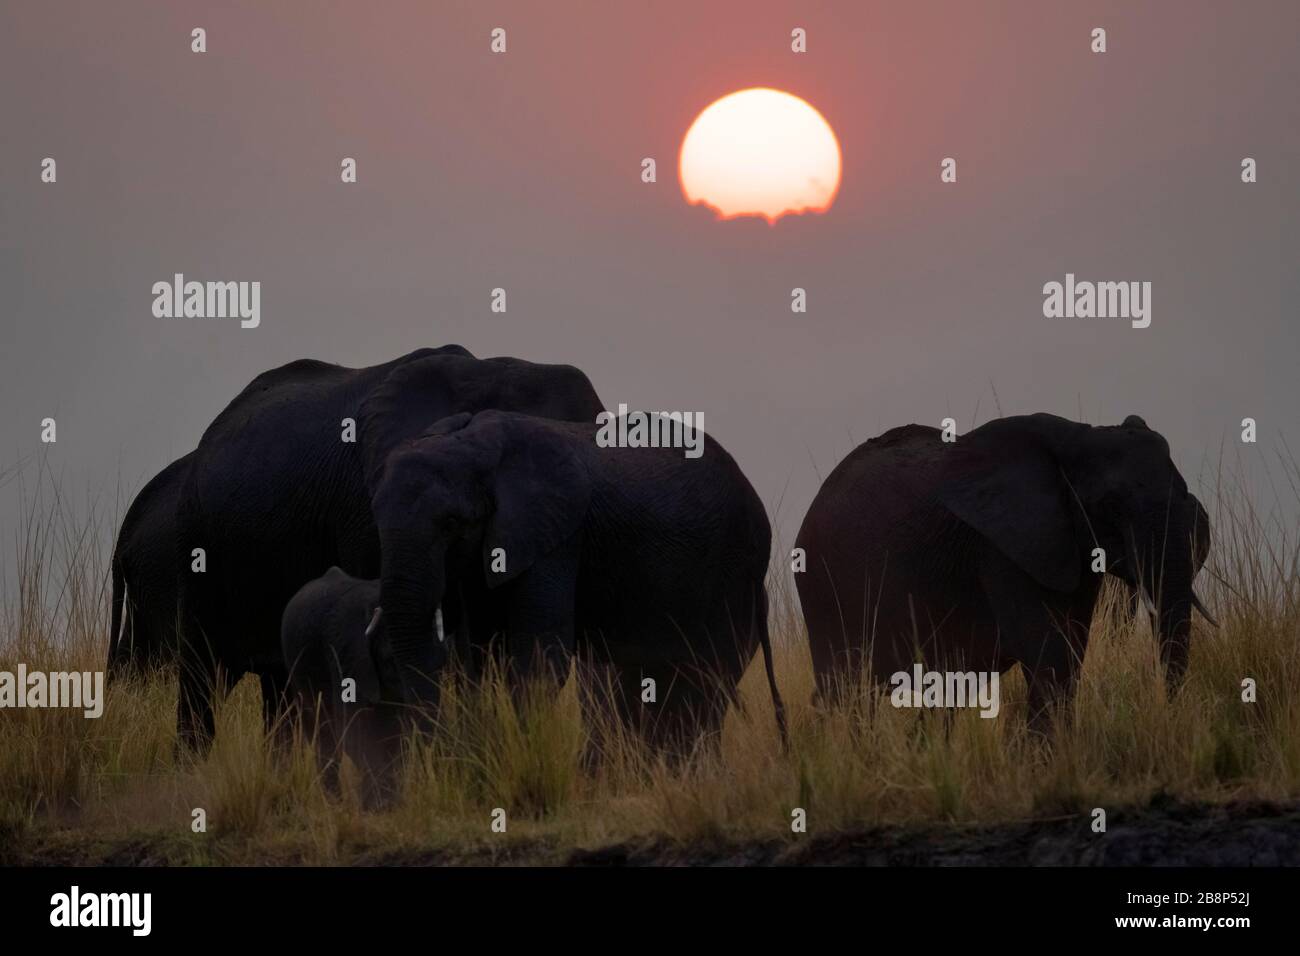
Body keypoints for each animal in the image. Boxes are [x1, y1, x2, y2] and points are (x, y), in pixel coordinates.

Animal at [281, 567, 404, 804]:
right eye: (390, 660)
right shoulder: (344, 653)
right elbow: (354, 730)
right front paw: (379, 804)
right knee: (322, 731)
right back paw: (333, 800)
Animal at [367, 409, 787, 755]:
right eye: (375, 519)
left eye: (452, 523)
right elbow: (480, 657)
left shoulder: (556, 538)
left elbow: (538, 659)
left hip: (734, 573)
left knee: (706, 681)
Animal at [794, 413, 1214, 727]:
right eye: (1109, 506)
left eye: (1184, 493)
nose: (1169, 710)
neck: (1077, 439)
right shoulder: (1000, 547)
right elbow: (1049, 652)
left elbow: (1071, 647)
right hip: (826, 587)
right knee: (848, 691)